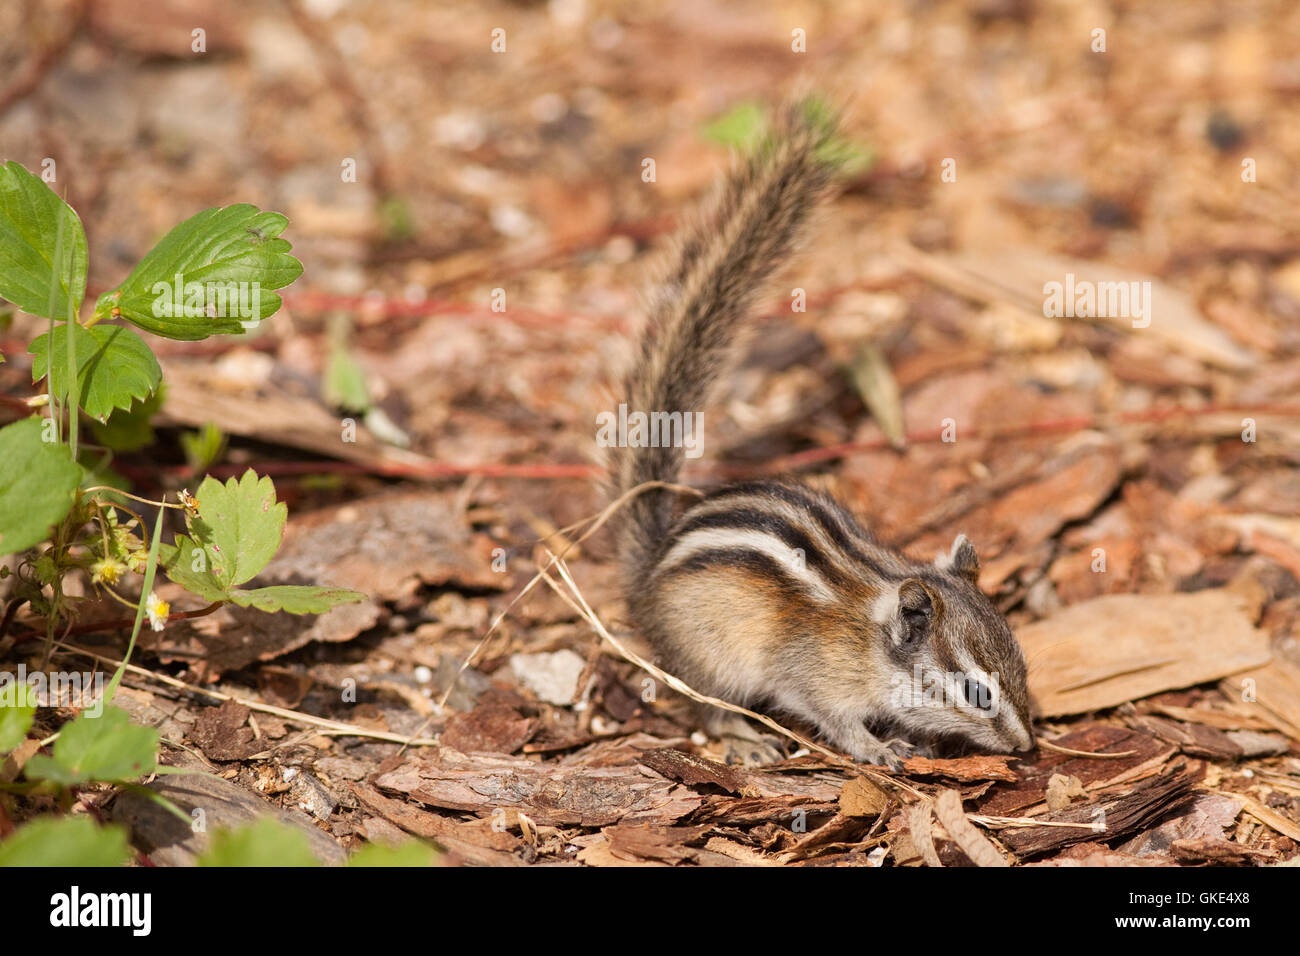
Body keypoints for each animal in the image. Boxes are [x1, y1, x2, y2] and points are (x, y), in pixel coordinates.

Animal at [608, 103, 1035, 769]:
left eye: (1022, 661)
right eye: (976, 693)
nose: (1027, 746)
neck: (871, 636)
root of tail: (649, 570)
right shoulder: (811, 677)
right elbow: (833, 717)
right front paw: (877, 748)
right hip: (712, 655)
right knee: (706, 703)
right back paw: (744, 736)